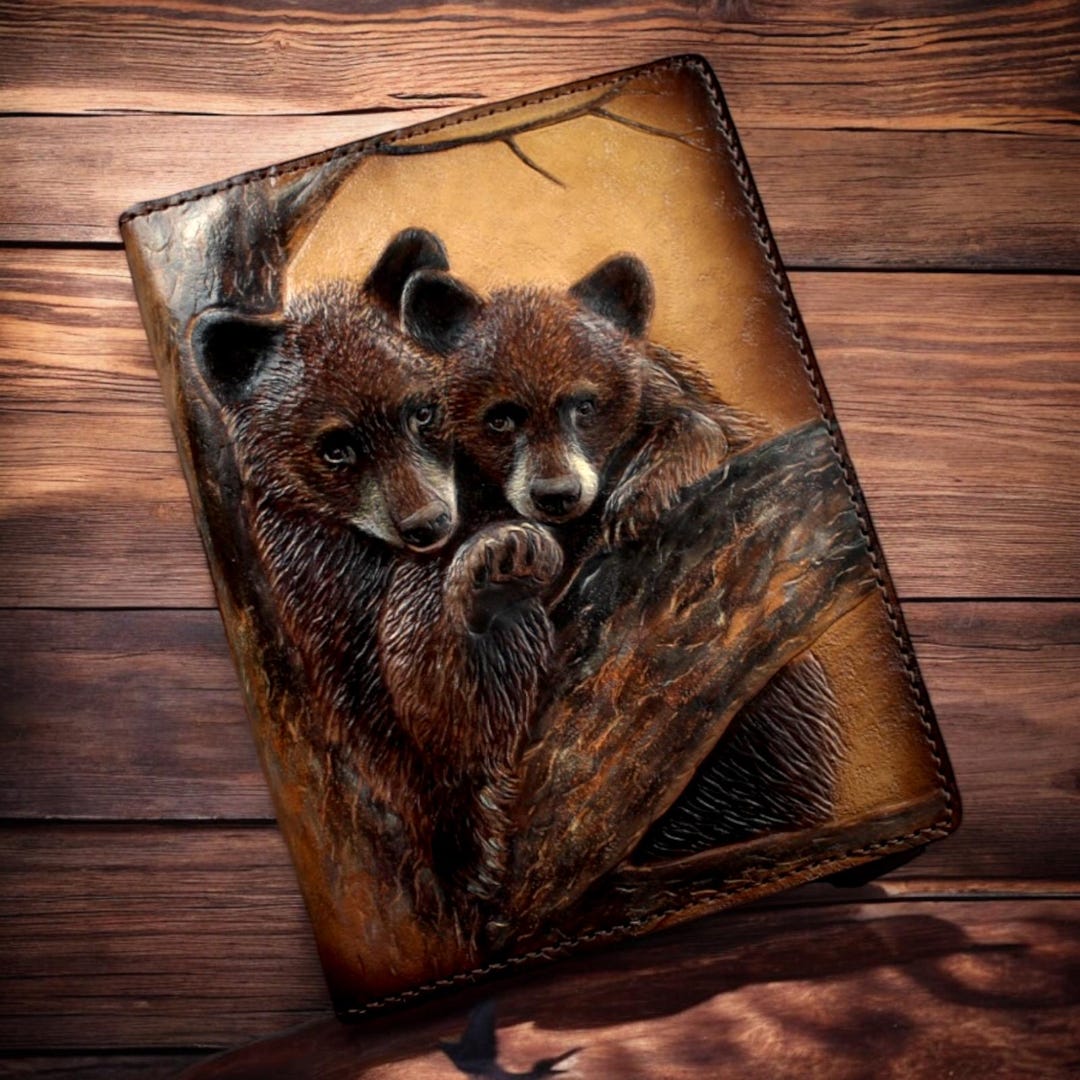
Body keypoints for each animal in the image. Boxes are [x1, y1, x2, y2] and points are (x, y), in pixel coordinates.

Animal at [399, 250, 843, 857]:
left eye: (584, 404)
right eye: (502, 417)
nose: (556, 493)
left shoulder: (683, 404)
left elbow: (701, 429)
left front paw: (643, 492)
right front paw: (500, 563)